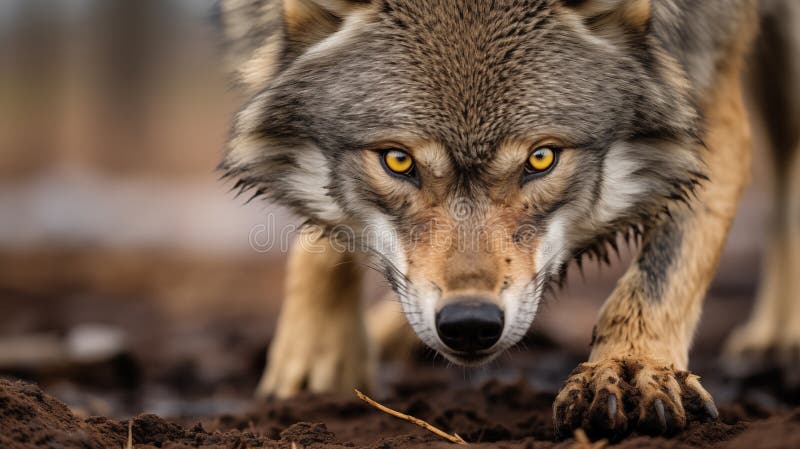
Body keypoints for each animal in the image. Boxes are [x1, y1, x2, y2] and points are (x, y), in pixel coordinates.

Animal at [217, 0, 800, 438]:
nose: (469, 324)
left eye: (541, 158)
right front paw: (318, 357)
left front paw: (632, 368)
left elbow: (665, 266)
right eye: (398, 161)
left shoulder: (706, 85)